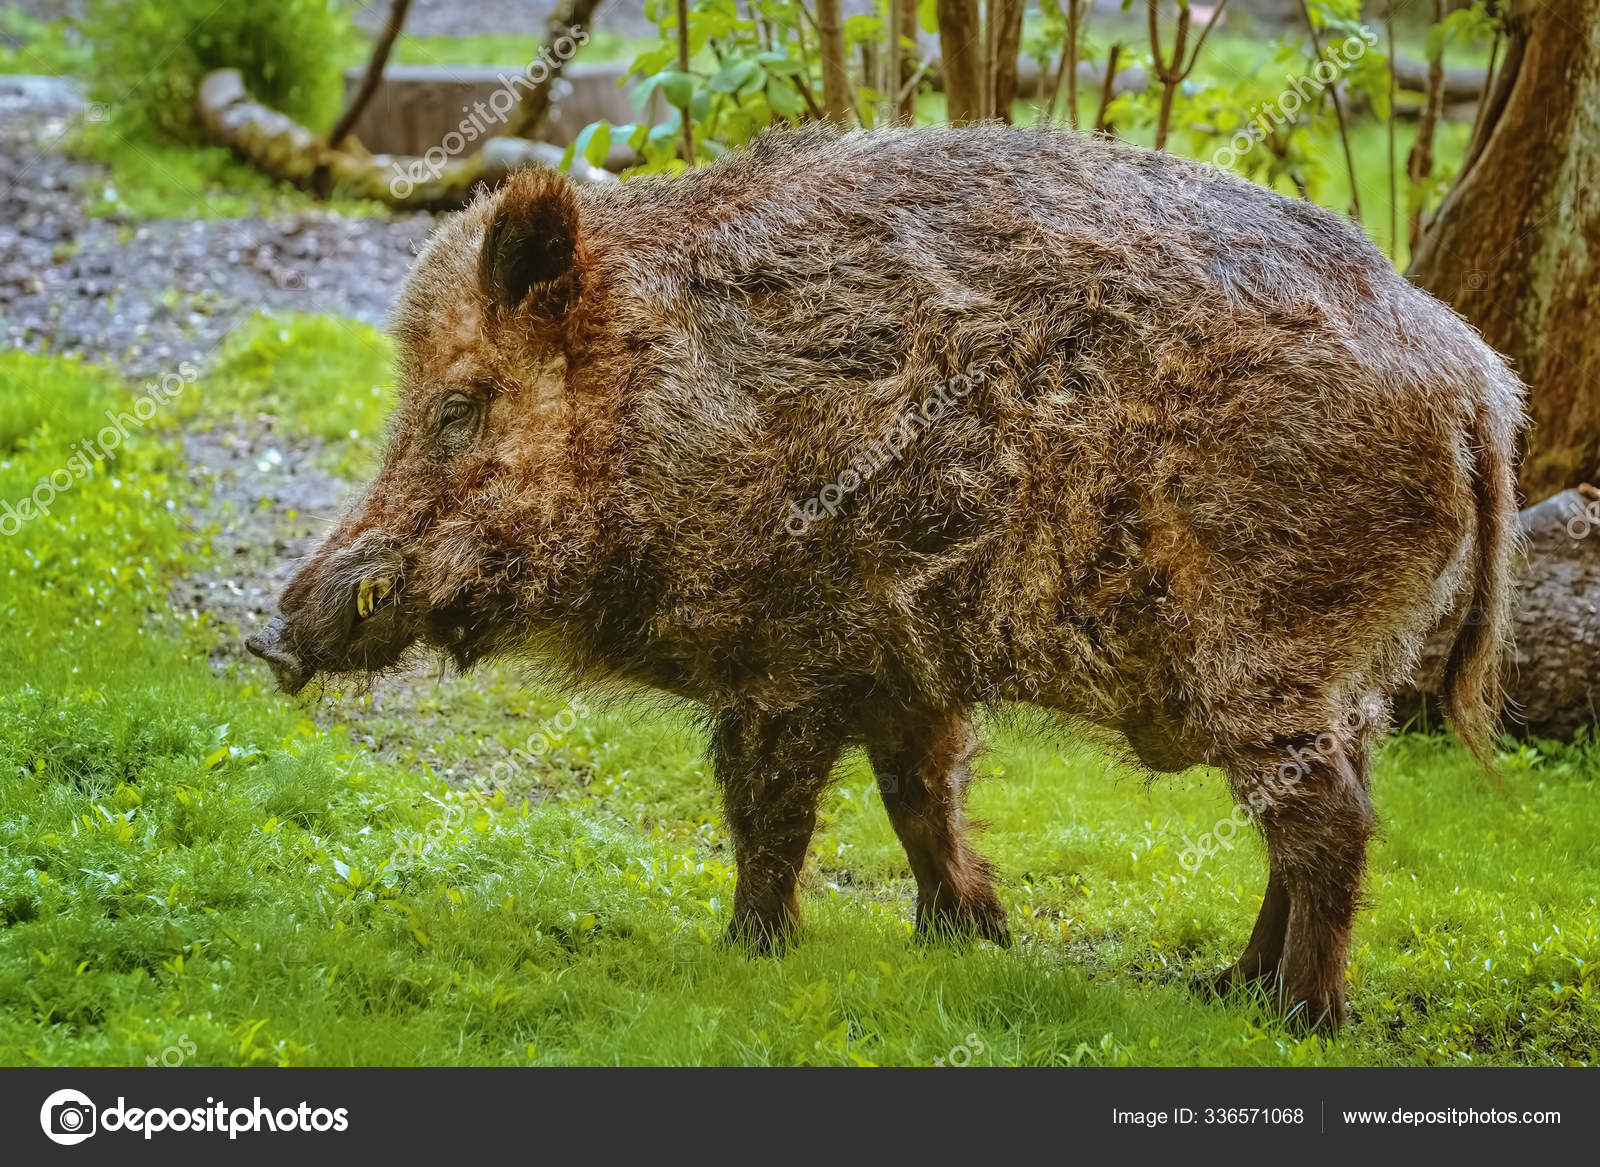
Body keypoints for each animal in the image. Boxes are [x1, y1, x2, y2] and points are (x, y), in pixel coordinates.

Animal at [247, 124, 1524, 1030]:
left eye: (458, 406)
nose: (273, 631)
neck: (662, 415)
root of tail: (1476, 383)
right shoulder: (899, 656)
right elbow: (918, 796)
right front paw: (968, 936)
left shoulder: (786, 654)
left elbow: (766, 809)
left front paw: (744, 955)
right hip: (1351, 671)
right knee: (1322, 816)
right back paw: (1224, 990)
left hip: (1267, 653)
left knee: (1328, 826)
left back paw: (1296, 1019)